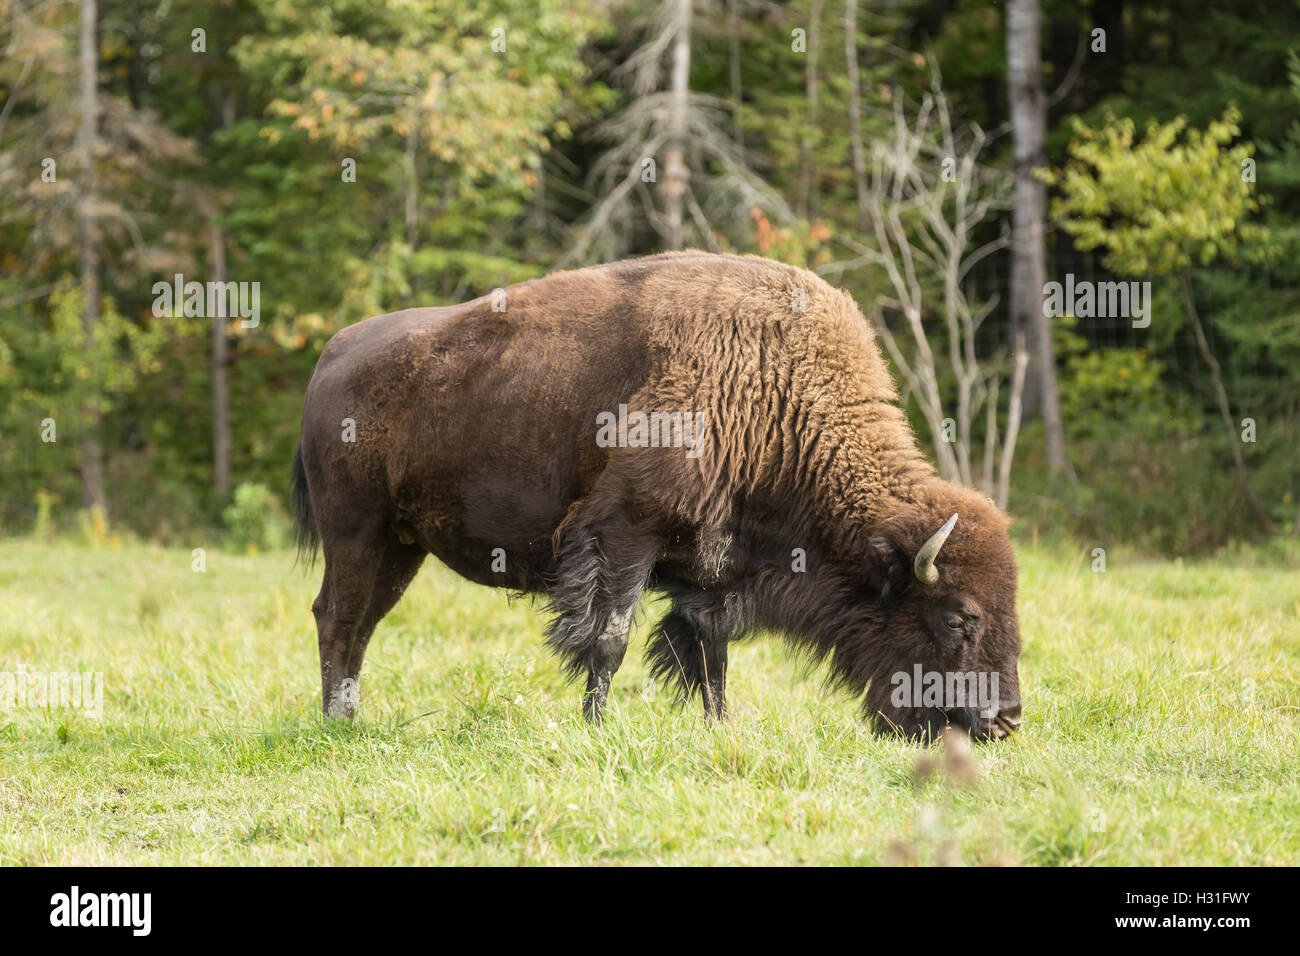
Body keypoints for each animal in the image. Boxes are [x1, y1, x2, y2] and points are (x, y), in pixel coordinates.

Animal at [292, 252, 1022, 739]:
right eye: (959, 618)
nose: (1006, 719)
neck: (776, 393)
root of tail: (332, 355)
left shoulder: (714, 569)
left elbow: (710, 653)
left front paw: (720, 729)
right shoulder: (625, 534)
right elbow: (608, 637)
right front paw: (595, 728)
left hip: (402, 546)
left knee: (364, 621)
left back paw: (350, 717)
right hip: (356, 533)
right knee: (339, 616)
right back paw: (337, 724)